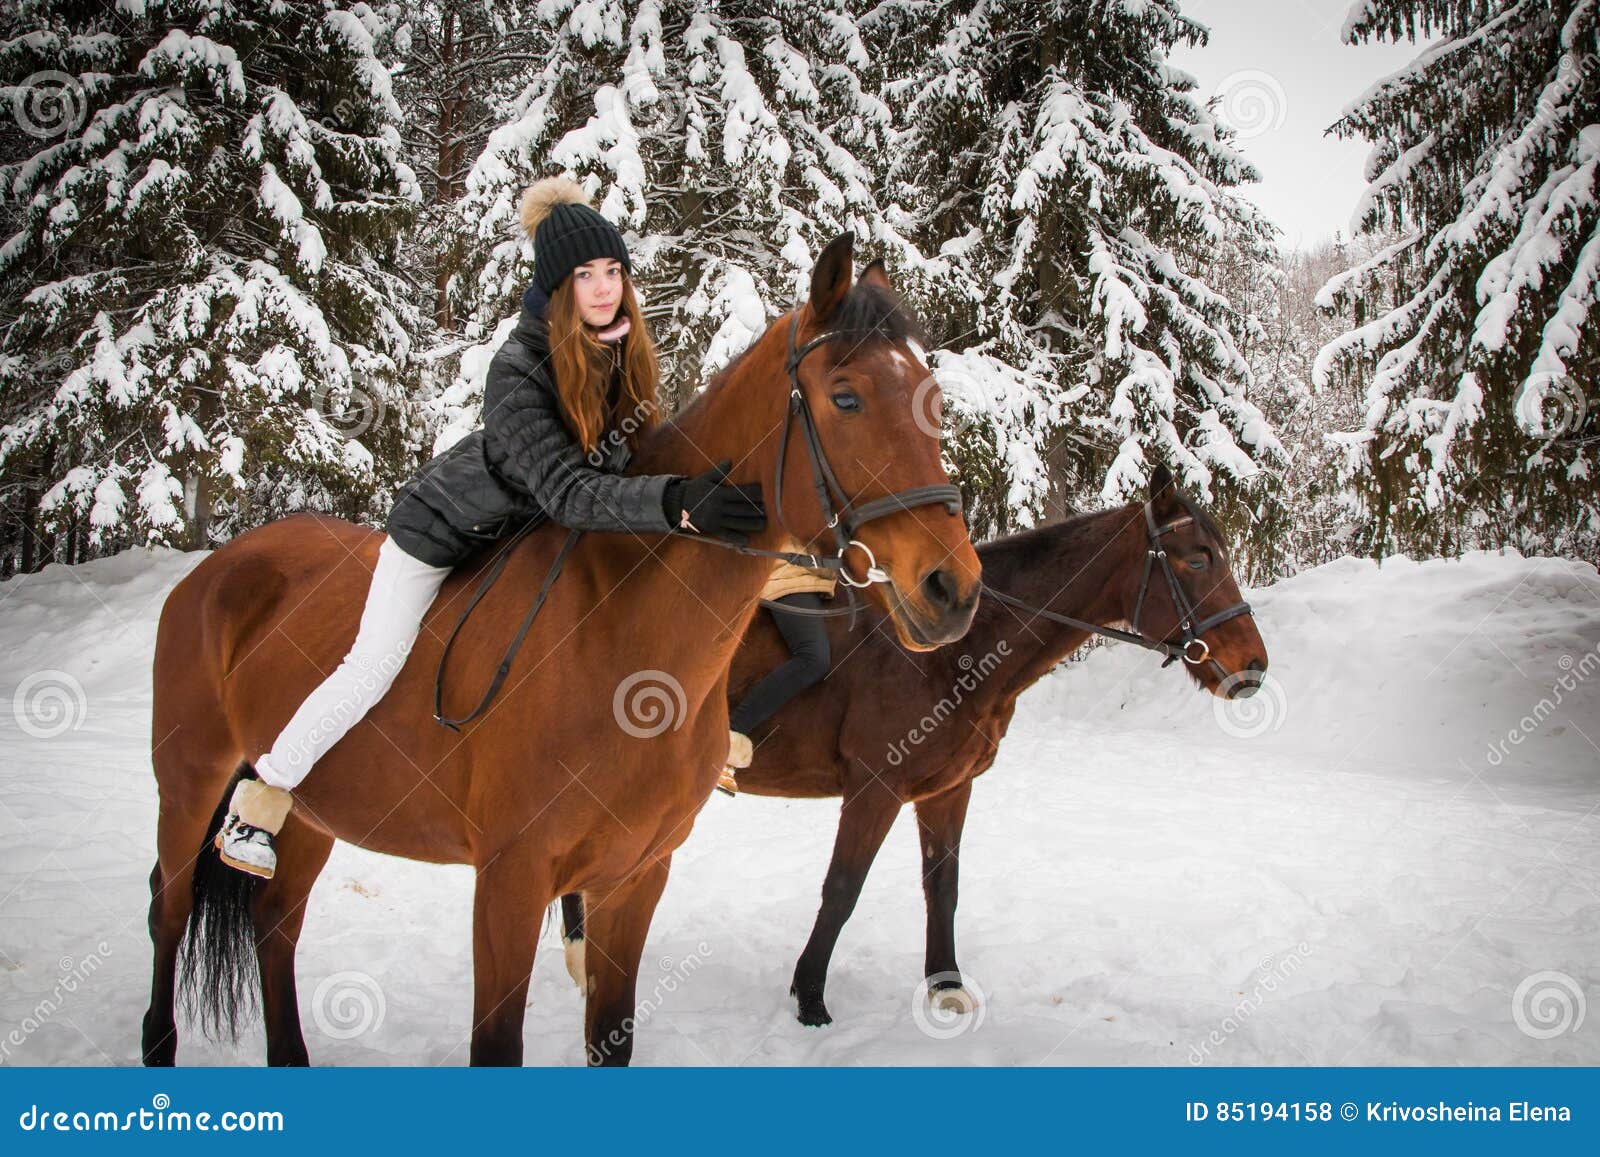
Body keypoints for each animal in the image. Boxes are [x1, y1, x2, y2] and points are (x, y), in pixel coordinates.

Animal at [142, 233, 983, 1066]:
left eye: (932, 400)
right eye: (846, 397)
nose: (953, 588)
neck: (629, 659)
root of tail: (223, 565)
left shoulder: (632, 878)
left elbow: (612, 1036)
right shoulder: (509, 883)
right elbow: (496, 1044)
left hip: (315, 812)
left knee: (275, 921)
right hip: (190, 781)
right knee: (169, 907)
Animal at [558, 467, 1267, 1027]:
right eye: (1198, 557)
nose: (1253, 667)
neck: (953, 655)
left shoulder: (948, 789)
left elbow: (942, 886)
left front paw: (945, 985)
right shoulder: (875, 789)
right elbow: (843, 889)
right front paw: (809, 999)